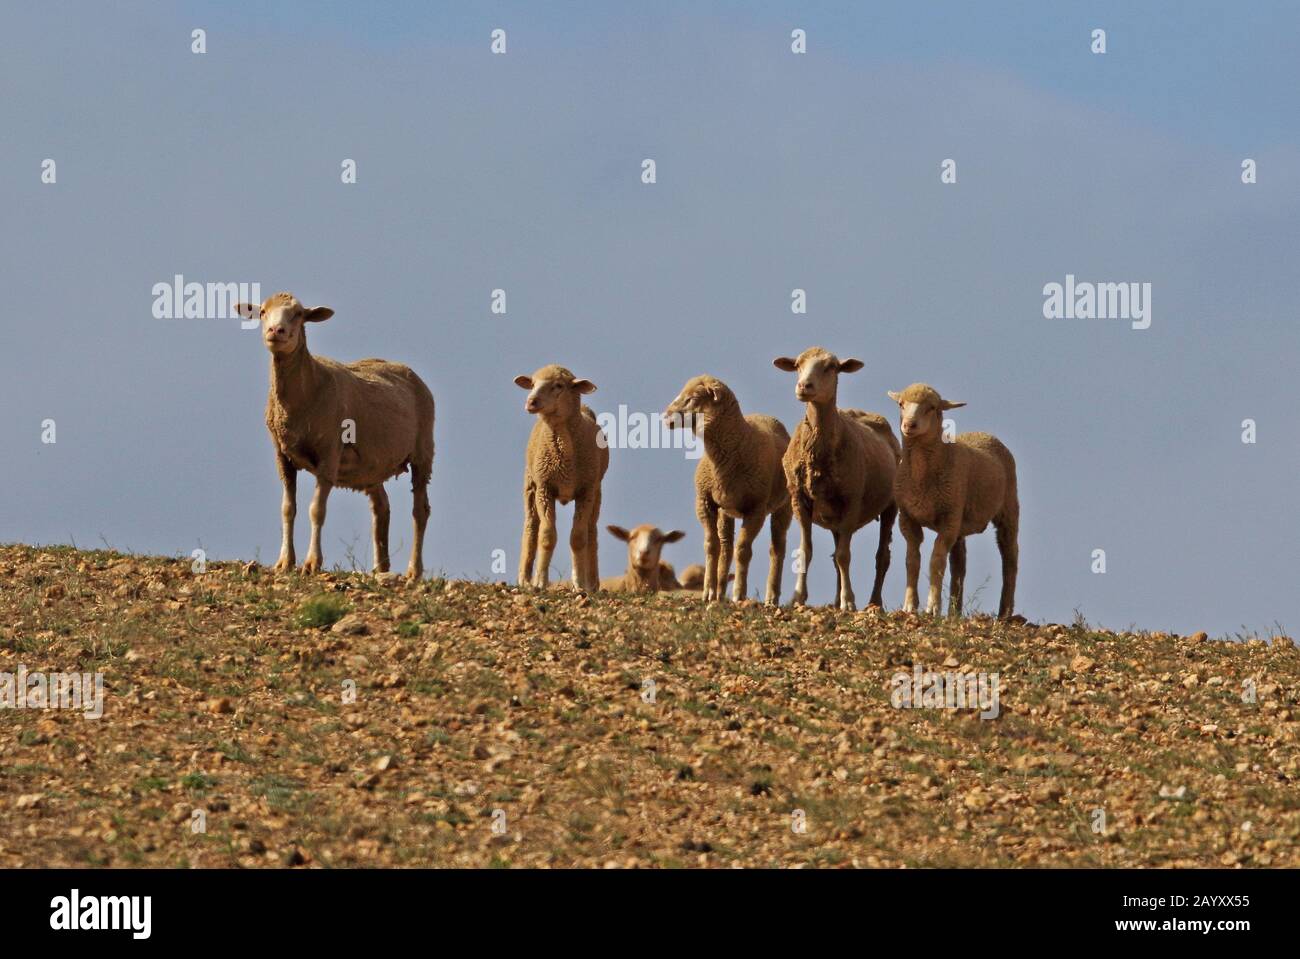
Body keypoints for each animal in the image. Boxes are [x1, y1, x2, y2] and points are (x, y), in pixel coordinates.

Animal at [235, 292, 435, 579]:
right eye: (262, 312)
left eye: (299, 314)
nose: (276, 331)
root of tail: (407, 370)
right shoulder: (282, 455)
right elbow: (288, 509)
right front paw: (285, 561)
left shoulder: (329, 454)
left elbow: (316, 510)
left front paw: (311, 563)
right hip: (371, 465)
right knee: (382, 508)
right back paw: (380, 568)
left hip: (423, 450)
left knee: (420, 510)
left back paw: (413, 571)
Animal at [515, 365, 610, 591]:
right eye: (532, 384)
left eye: (558, 385)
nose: (531, 402)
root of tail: (585, 407)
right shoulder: (544, 487)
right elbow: (547, 535)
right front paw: (540, 581)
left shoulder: (586, 490)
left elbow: (578, 537)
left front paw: (580, 584)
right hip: (530, 486)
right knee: (531, 526)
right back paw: (524, 579)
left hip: (597, 493)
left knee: (591, 531)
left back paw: (593, 582)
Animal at [663, 376, 792, 604]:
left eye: (693, 398)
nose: (666, 417)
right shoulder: (704, 502)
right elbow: (711, 546)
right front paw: (708, 592)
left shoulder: (756, 509)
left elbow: (743, 550)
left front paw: (739, 593)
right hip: (726, 511)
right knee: (726, 548)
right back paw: (719, 592)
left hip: (783, 507)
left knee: (777, 548)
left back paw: (771, 597)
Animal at [773, 348, 899, 611]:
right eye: (798, 365)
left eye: (831, 367)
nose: (804, 386)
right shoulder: (799, 499)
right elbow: (806, 551)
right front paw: (797, 597)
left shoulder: (852, 500)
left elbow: (844, 555)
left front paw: (848, 601)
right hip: (834, 515)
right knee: (837, 553)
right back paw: (834, 599)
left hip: (890, 505)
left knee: (882, 556)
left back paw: (874, 602)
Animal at [886, 383, 1019, 619]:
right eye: (901, 404)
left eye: (932, 407)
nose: (909, 425)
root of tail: (984, 433)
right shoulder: (908, 518)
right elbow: (912, 561)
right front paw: (909, 605)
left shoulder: (947, 520)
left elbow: (936, 561)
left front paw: (932, 607)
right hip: (960, 520)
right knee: (959, 564)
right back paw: (954, 612)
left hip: (1007, 509)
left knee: (1010, 558)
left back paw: (1005, 613)